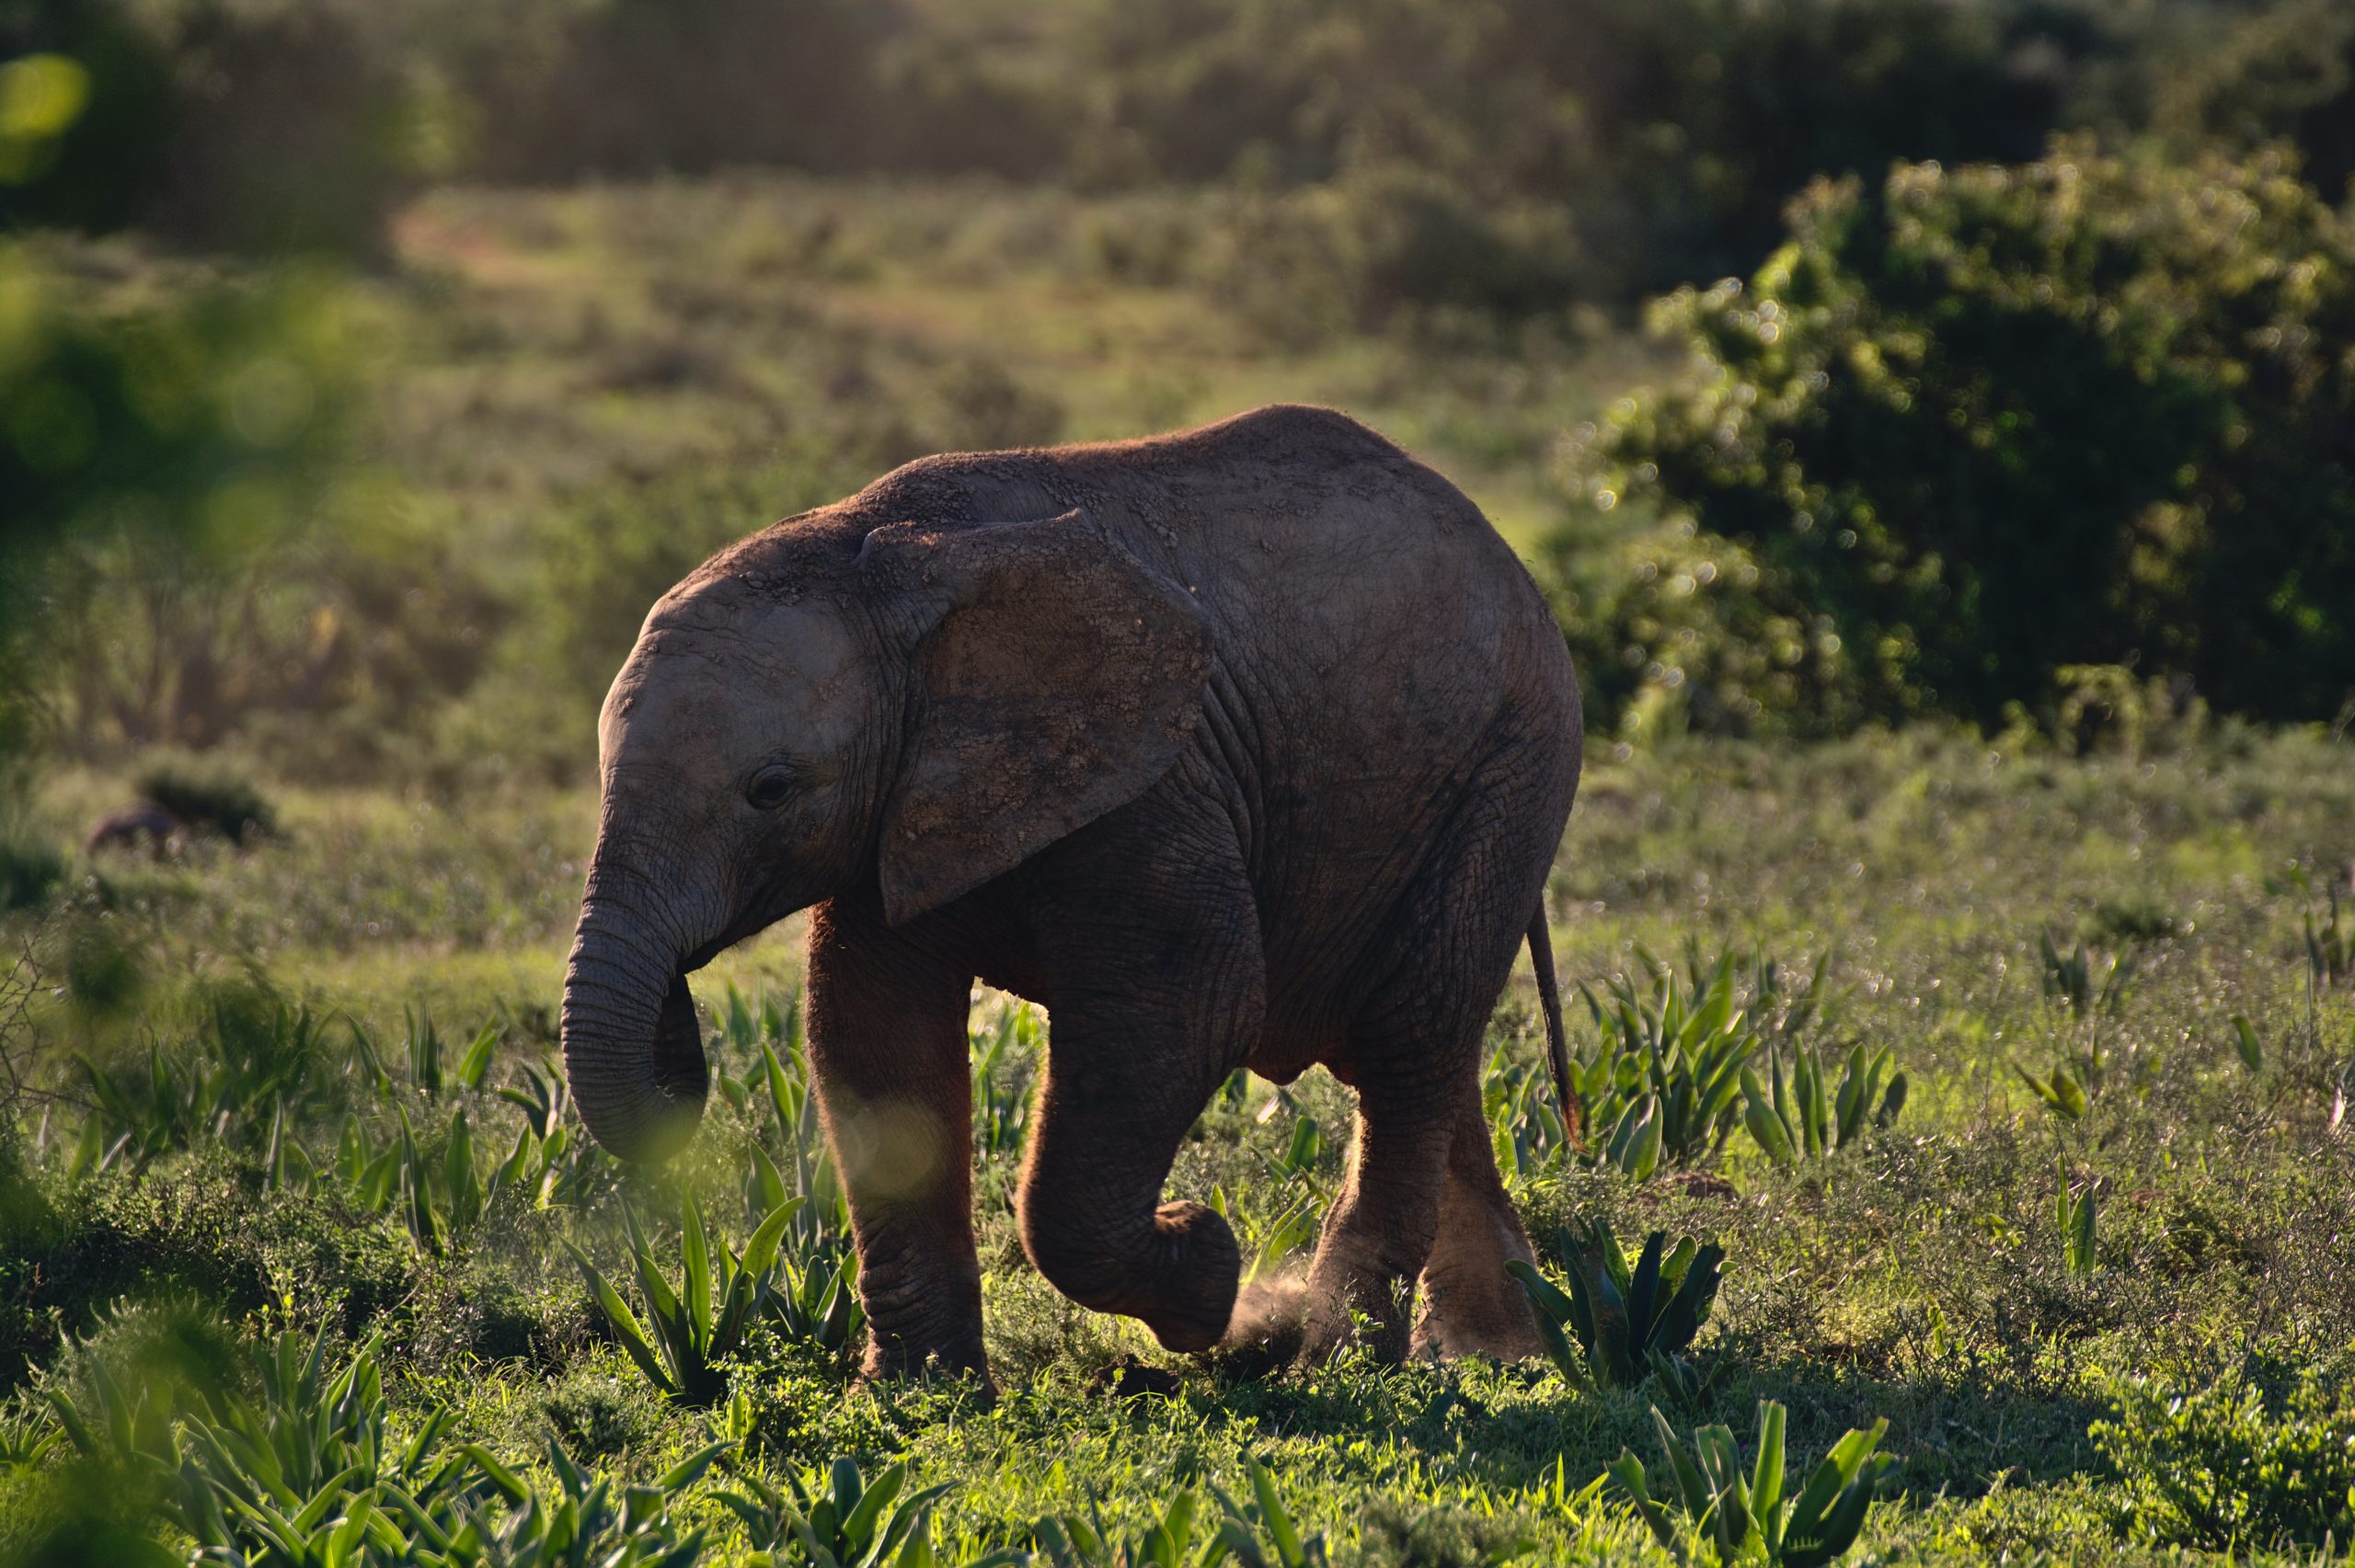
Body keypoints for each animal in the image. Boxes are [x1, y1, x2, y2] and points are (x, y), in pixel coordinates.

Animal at [560, 403, 1582, 1383]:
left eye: (769, 789)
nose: (677, 1020)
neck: (881, 554)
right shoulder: (904, 801)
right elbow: (870, 1033)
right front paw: (914, 1398)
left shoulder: (1156, 778)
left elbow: (1194, 1006)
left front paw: (1210, 1275)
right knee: (1418, 1057)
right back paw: (1491, 1354)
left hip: (1511, 764)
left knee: (1410, 1035)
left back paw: (1337, 1363)